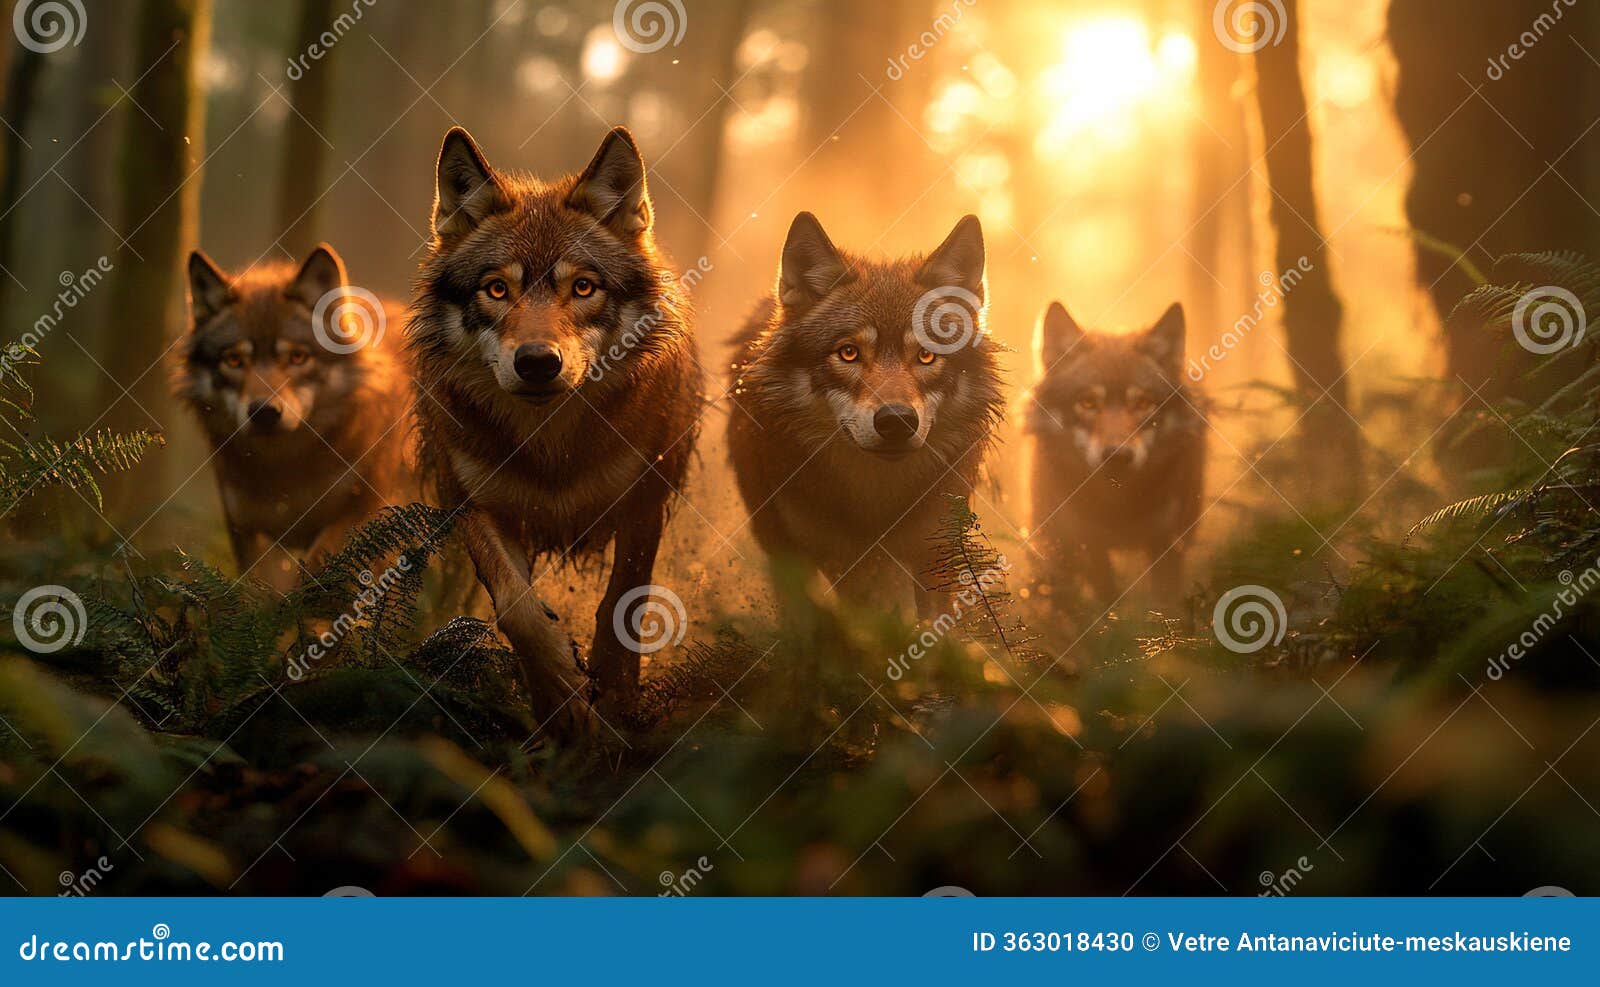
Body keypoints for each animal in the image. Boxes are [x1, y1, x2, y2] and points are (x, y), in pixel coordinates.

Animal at [175, 244, 412, 593]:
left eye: (297, 357)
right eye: (234, 360)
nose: (263, 412)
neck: (285, 468)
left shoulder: (363, 511)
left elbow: (319, 567)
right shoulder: (251, 532)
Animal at [407, 126, 702, 735]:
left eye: (584, 287)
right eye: (496, 290)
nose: (538, 362)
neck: (551, 444)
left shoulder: (643, 504)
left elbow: (621, 608)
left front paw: (614, 705)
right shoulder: (474, 504)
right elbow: (519, 611)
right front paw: (563, 706)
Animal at [727, 212, 1005, 616]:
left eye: (926, 356)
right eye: (848, 353)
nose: (896, 420)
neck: (875, 496)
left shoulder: (934, 553)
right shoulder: (804, 557)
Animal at [1026, 300, 1206, 605]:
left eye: (1143, 403)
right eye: (1088, 402)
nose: (1118, 455)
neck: (1116, 506)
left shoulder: (1167, 544)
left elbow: (1164, 602)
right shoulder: (1086, 543)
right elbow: (1106, 598)